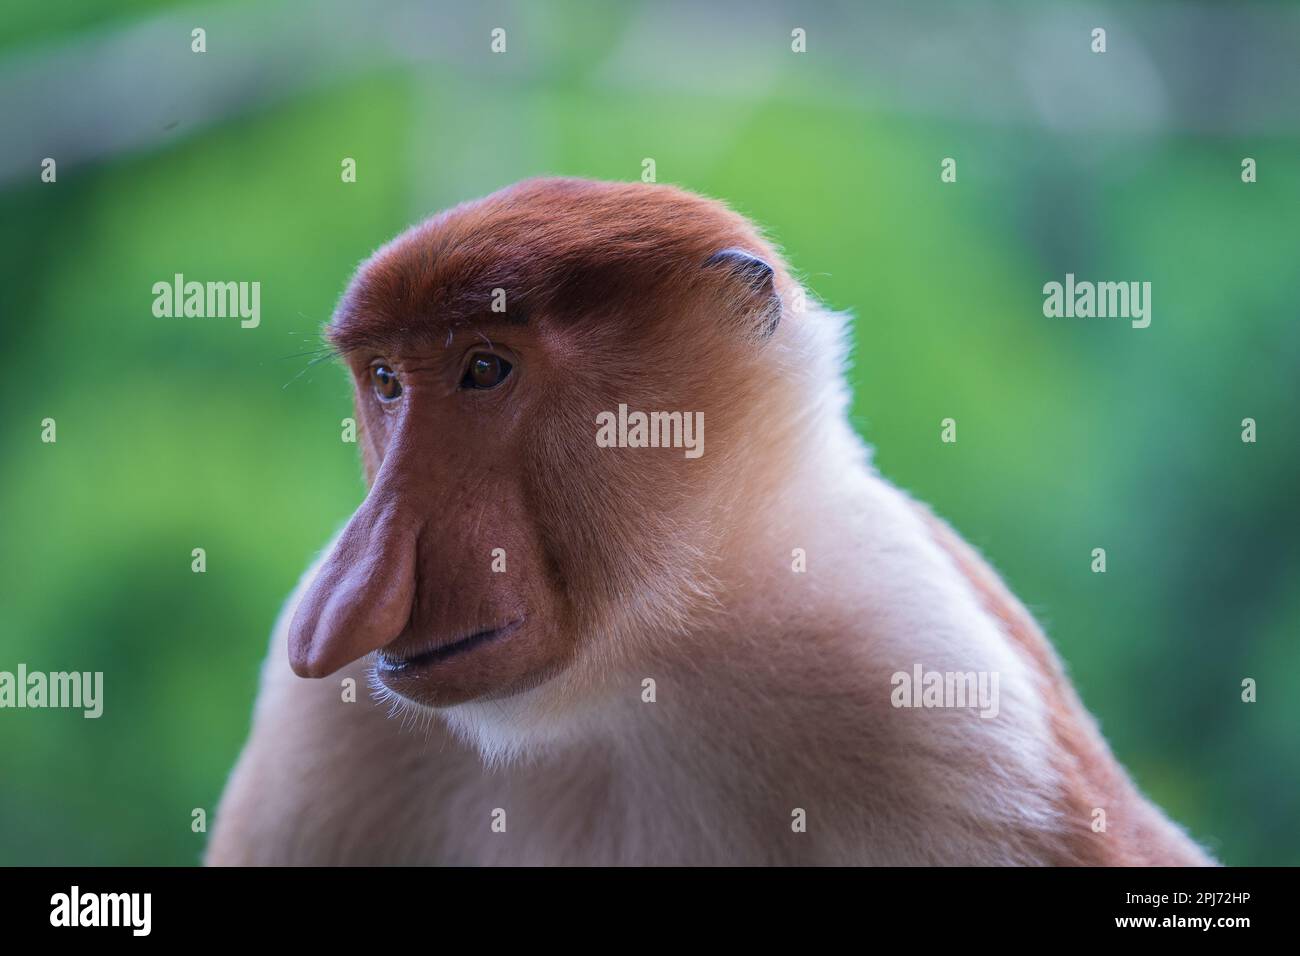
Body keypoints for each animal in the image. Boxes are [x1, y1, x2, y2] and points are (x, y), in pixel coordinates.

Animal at [207, 177, 1214, 866]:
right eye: (385, 380)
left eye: (485, 369)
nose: (340, 603)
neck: (638, 672)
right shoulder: (320, 727)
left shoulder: (937, 701)